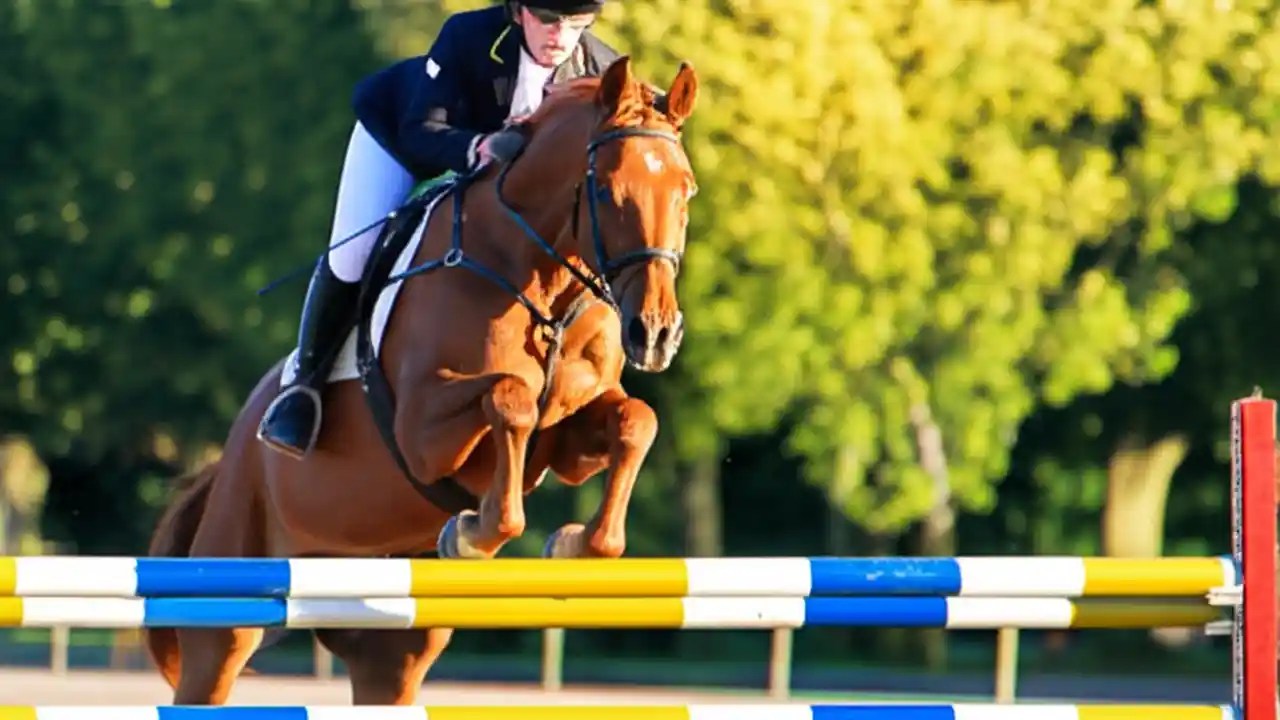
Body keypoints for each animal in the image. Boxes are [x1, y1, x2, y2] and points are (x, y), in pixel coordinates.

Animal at [142, 56, 700, 705]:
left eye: (686, 190)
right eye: (608, 191)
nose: (655, 334)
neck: (539, 283)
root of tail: (231, 450)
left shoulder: (568, 439)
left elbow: (635, 421)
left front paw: (575, 544)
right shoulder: (421, 433)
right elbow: (510, 400)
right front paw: (471, 534)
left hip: (391, 636)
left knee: (387, 663)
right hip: (230, 591)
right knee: (214, 657)